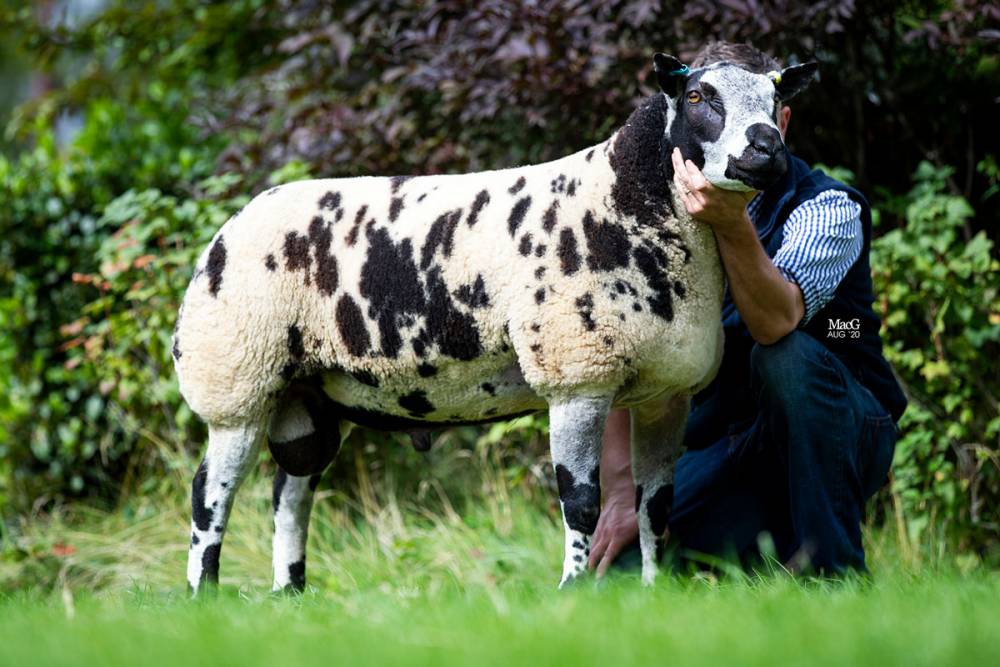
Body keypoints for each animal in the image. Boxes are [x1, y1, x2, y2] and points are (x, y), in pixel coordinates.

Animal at [173, 53, 816, 592]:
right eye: (700, 97)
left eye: (774, 95)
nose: (766, 150)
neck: (629, 200)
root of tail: (229, 227)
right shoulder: (577, 373)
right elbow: (581, 501)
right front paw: (573, 591)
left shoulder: (666, 392)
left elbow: (654, 506)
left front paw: (655, 592)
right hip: (236, 377)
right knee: (210, 495)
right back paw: (205, 597)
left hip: (309, 393)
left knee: (291, 492)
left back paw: (291, 595)